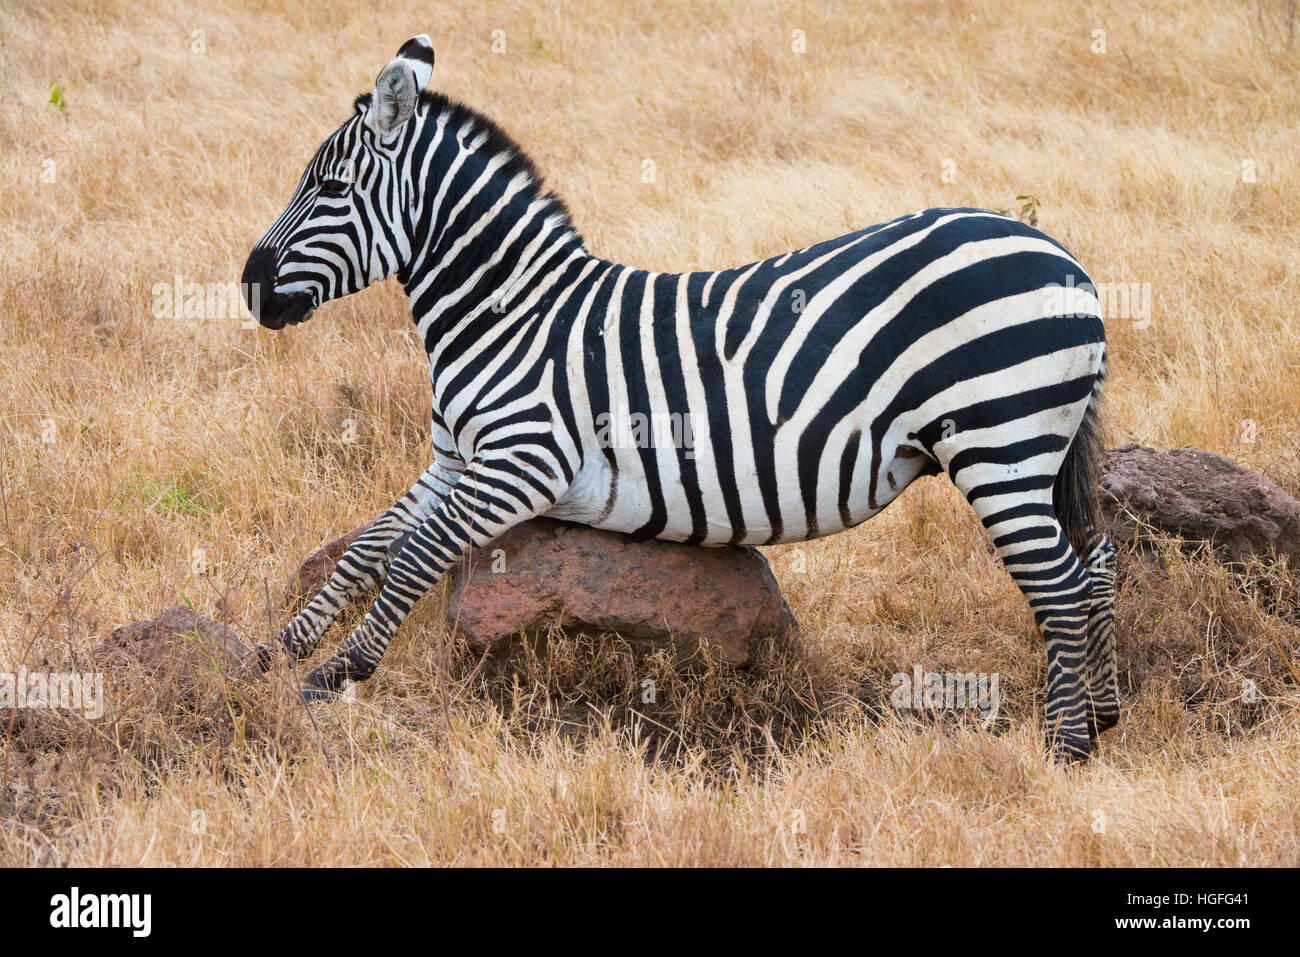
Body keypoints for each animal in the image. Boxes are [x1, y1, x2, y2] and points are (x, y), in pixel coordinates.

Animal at [242, 36, 1119, 760]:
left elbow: (415, 555)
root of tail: (1064, 260)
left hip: (998, 439)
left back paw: (1064, 745)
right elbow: (367, 545)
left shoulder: (527, 461)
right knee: (1099, 559)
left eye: (329, 187)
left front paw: (340, 669)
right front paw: (279, 649)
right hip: (1039, 450)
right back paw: (1105, 714)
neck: (511, 311)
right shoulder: (456, 458)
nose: (249, 287)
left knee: (1060, 582)